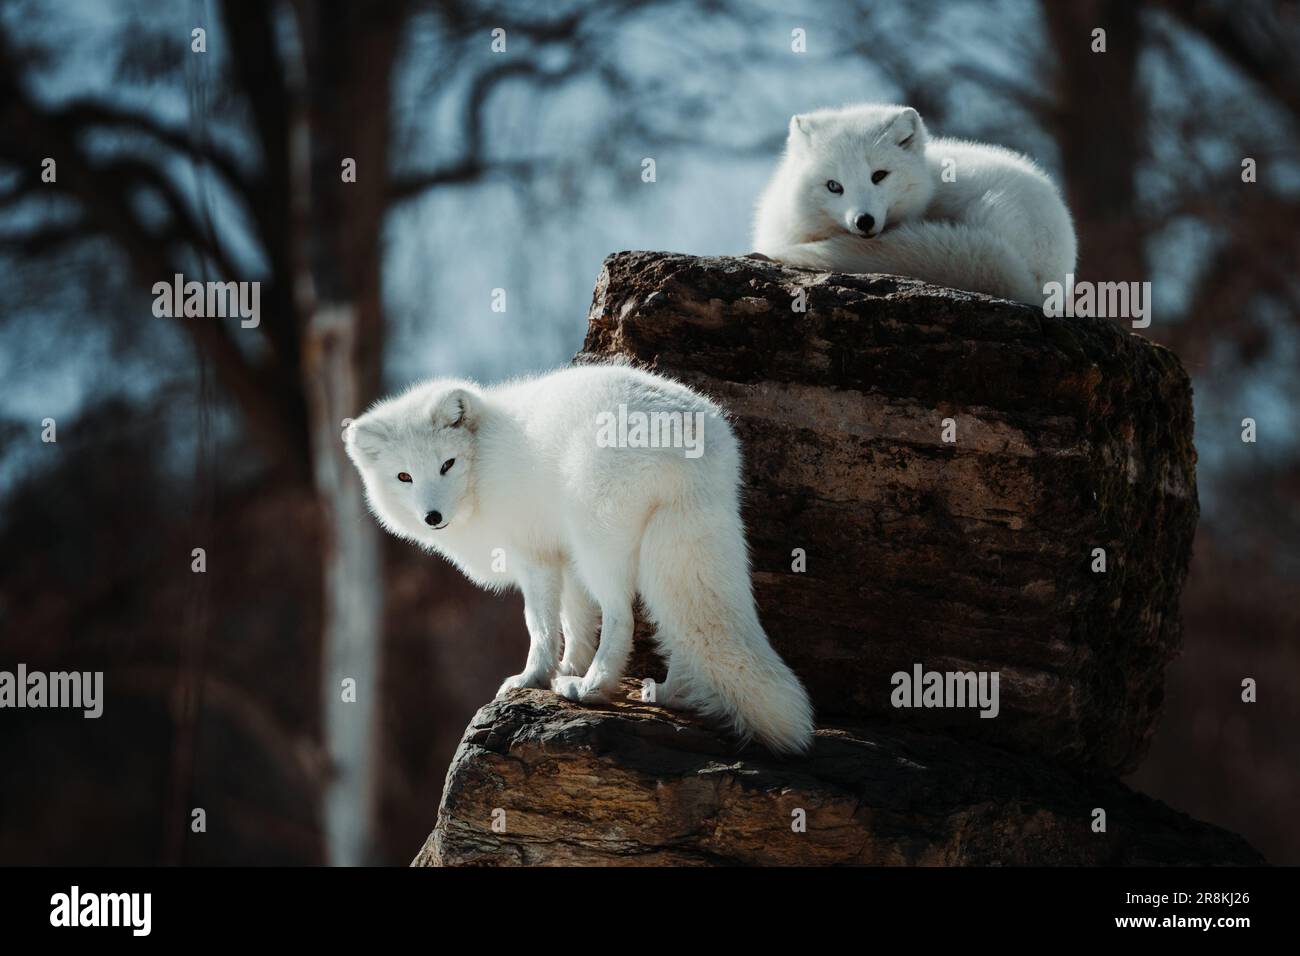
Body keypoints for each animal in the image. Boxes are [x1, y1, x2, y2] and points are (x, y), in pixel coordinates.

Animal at [342, 362, 815, 756]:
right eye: (404, 476)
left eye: (447, 465)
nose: (433, 517)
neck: (482, 469)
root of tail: (684, 430)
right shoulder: (564, 558)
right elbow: (576, 623)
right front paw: (567, 665)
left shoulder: (535, 558)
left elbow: (540, 625)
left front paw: (534, 677)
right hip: (665, 552)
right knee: (679, 627)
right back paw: (668, 694)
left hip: (599, 545)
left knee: (623, 616)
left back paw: (591, 688)